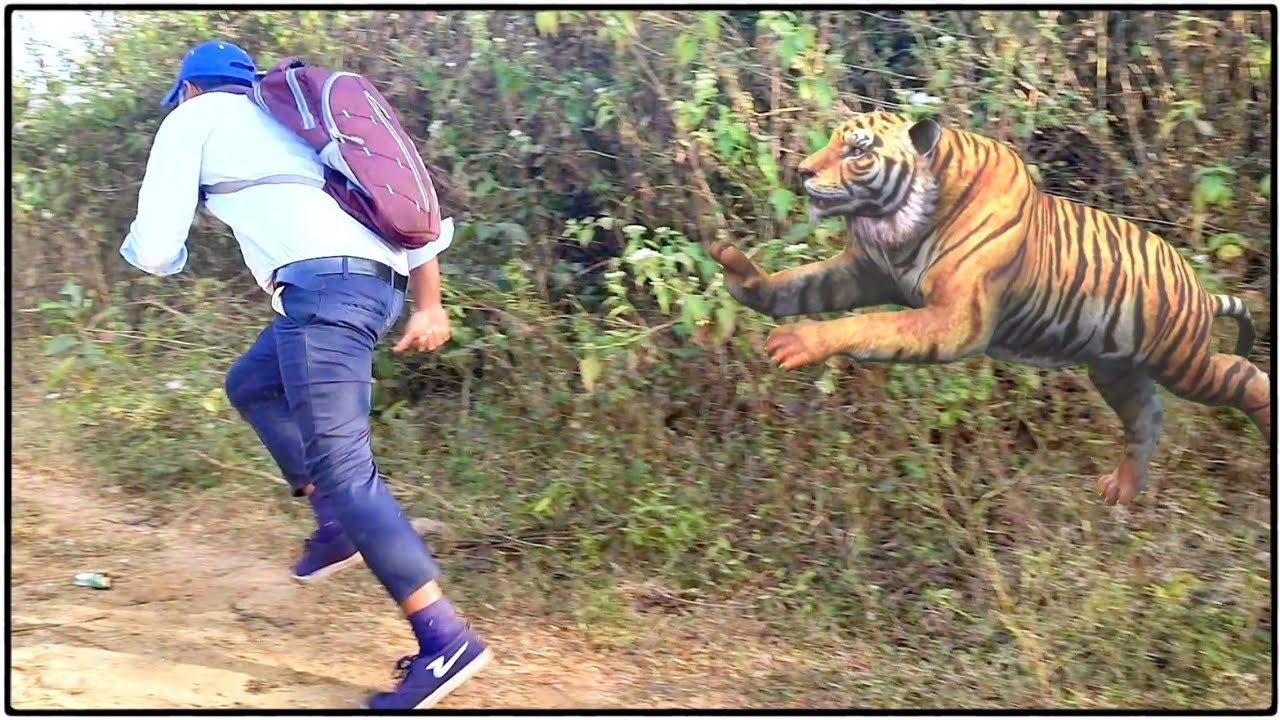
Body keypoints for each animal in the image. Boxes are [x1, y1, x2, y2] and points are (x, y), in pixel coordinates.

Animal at [709, 111, 1270, 504]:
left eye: (856, 149)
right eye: (832, 140)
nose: (802, 170)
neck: (906, 219)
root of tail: (1197, 288)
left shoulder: (956, 321)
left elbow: (871, 324)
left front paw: (798, 342)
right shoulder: (864, 272)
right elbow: (798, 287)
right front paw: (740, 272)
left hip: (1180, 359)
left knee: (1243, 375)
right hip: (1115, 368)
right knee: (1146, 415)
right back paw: (1121, 490)